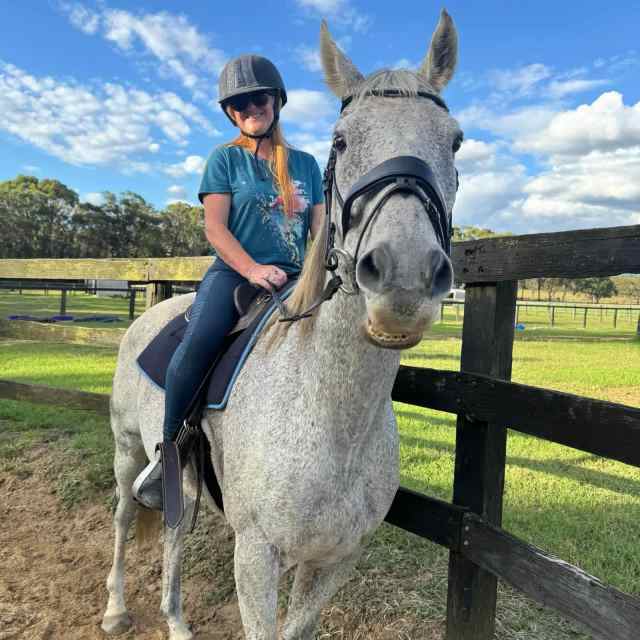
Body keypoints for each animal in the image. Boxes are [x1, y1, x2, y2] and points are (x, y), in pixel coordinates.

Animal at [102, 11, 461, 640]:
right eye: (341, 140)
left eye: (456, 140)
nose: (405, 275)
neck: (333, 423)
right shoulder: (256, 554)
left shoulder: (334, 560)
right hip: (127, 453)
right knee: (125, 517)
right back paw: (117, 607)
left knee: (174, 531)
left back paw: (175, 619)